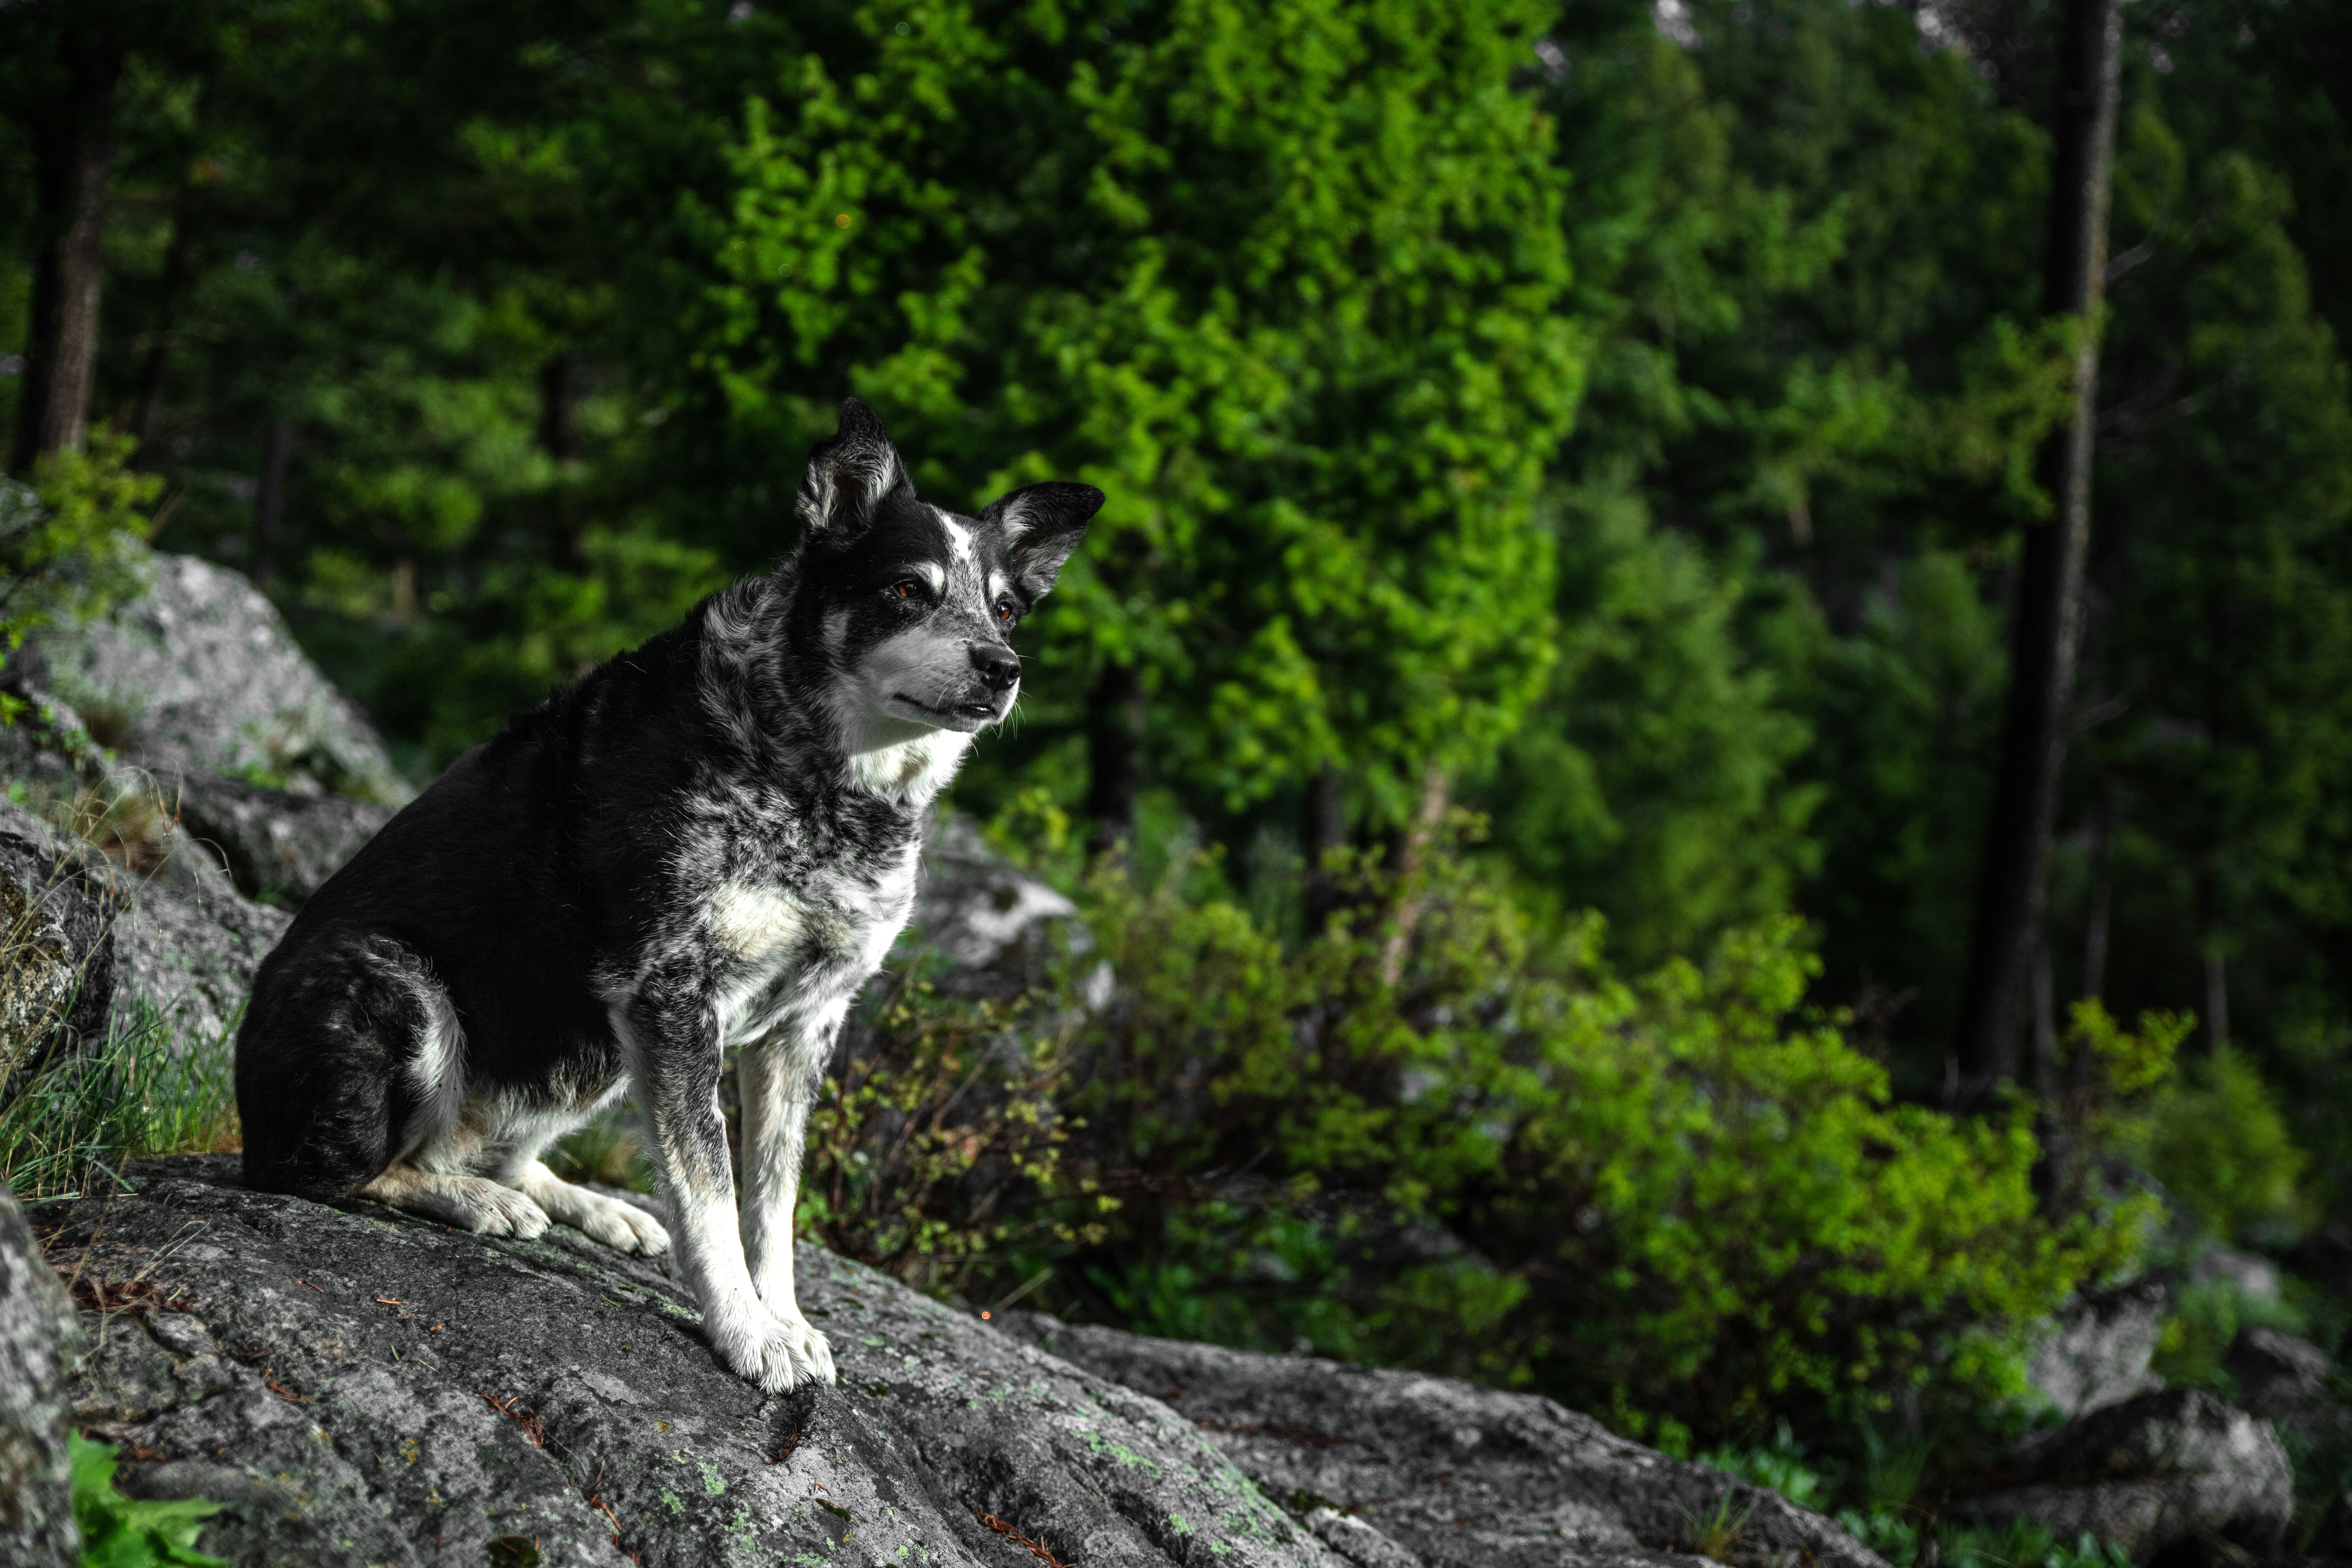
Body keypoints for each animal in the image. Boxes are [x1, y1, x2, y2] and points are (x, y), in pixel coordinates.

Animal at [235, 399, 1101, 1391]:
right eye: (907, 592)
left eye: (1004, 607)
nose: (1002, 666)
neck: (822, 783)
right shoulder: (675, 994)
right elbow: (710, 1192)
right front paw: (747, 1331)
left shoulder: (803, 1023)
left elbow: (771, 1202)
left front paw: (783, 1315)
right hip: (404, 989)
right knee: (331, 1170)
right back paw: (467, 1199)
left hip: (592, 1045)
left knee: (497, 1142)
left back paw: (574, 1201)